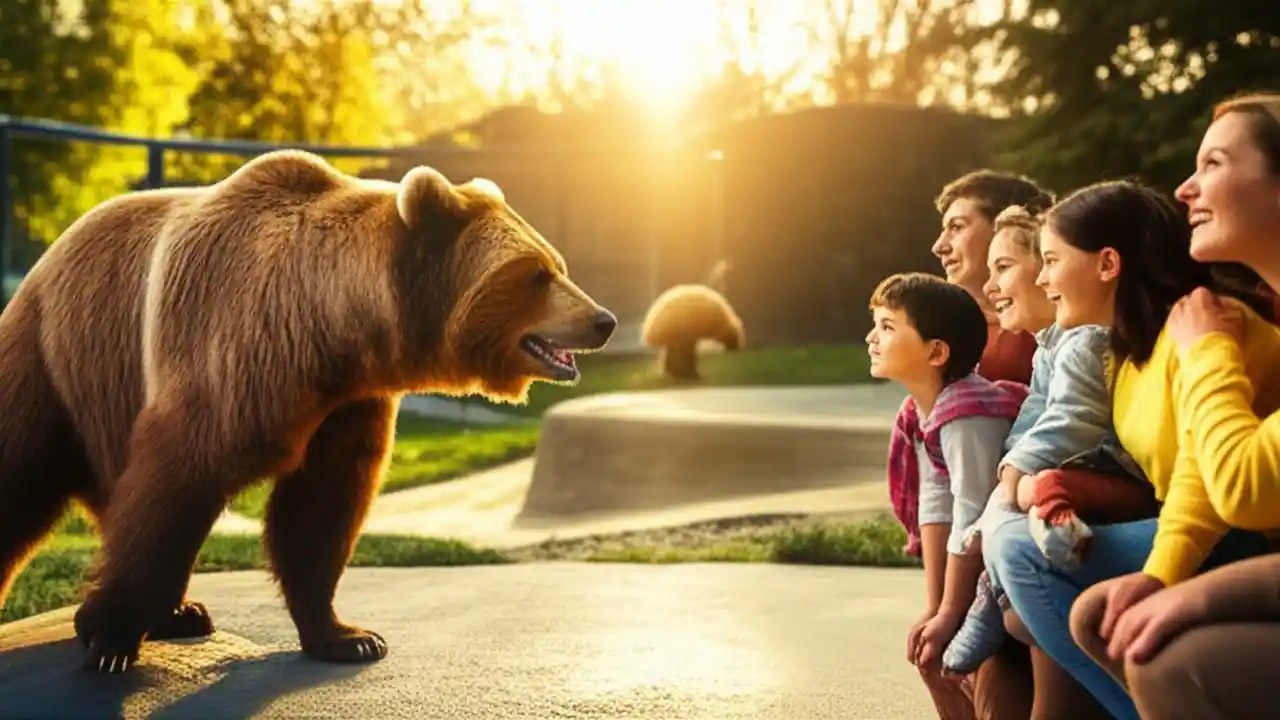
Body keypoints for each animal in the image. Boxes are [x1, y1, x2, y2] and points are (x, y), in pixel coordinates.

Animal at [0, 149, 616, 673]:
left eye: (557, 265)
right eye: (537, 273)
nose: (603, 320)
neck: (329, 332)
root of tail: (49, 255)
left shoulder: (346, 404)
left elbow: (323, 508)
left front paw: (349, 636)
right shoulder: (227, 353)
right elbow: (174, 484)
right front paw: (107, 635)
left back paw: (182, 613)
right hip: (54, 360)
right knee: (23, 474)